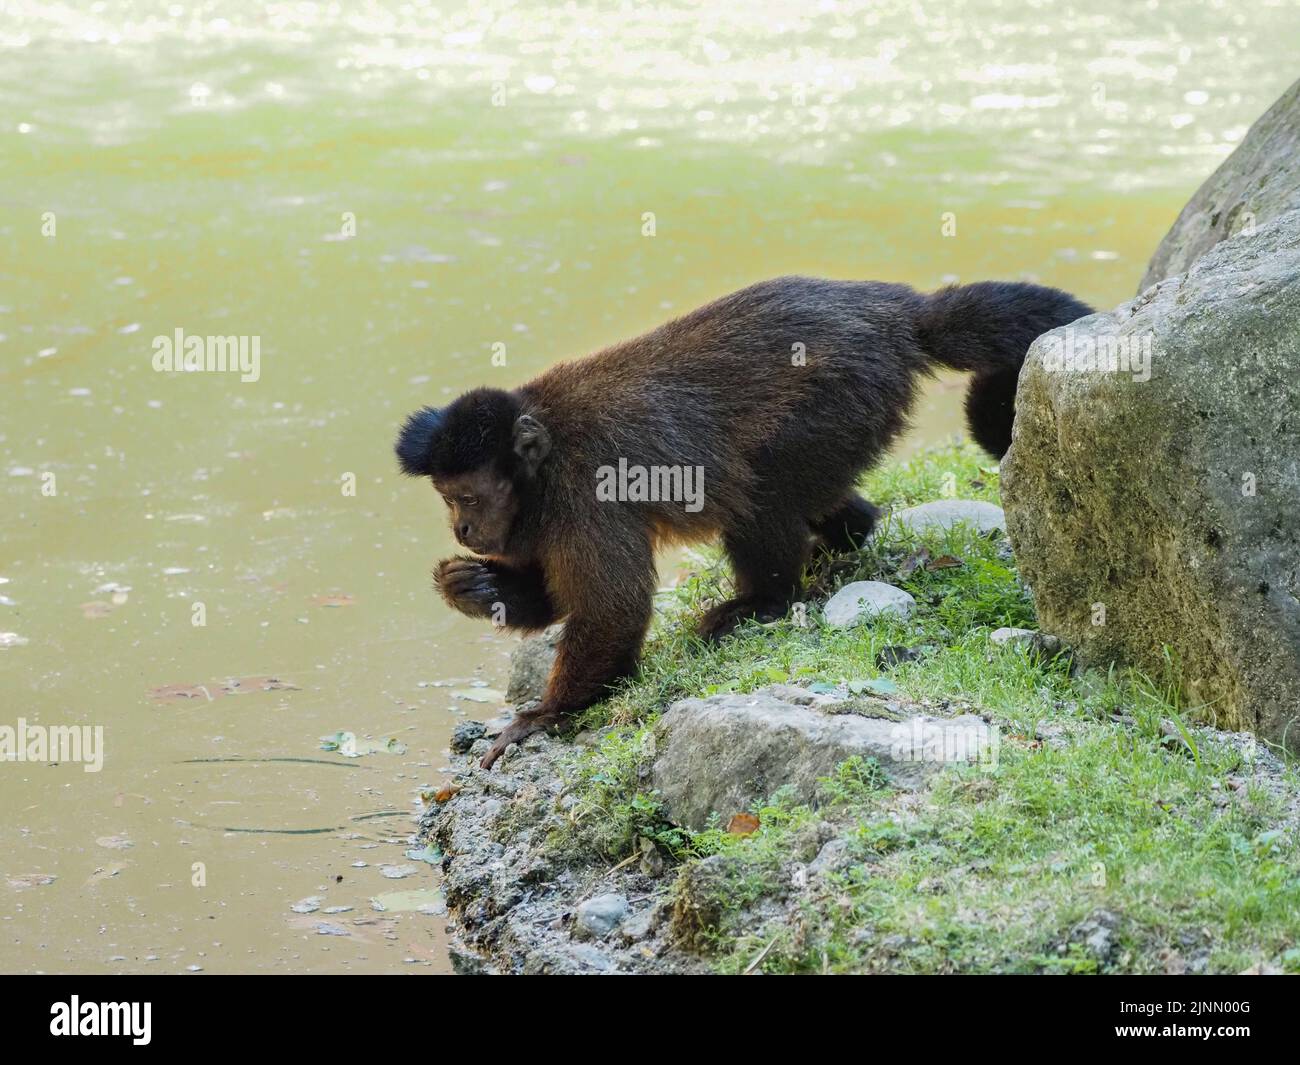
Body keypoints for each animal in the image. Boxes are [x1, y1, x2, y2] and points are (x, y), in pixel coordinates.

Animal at [396, 276, 1092, 768]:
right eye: (448, 499)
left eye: (468, 499)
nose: (461, 530)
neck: (542, 464)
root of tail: (895, 313)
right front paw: (474, 588)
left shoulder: (581, 495)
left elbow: (613, 609)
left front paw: (544, 717)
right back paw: (850, 533)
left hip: (839, 394)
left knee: (759, 488)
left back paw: (767, 601)